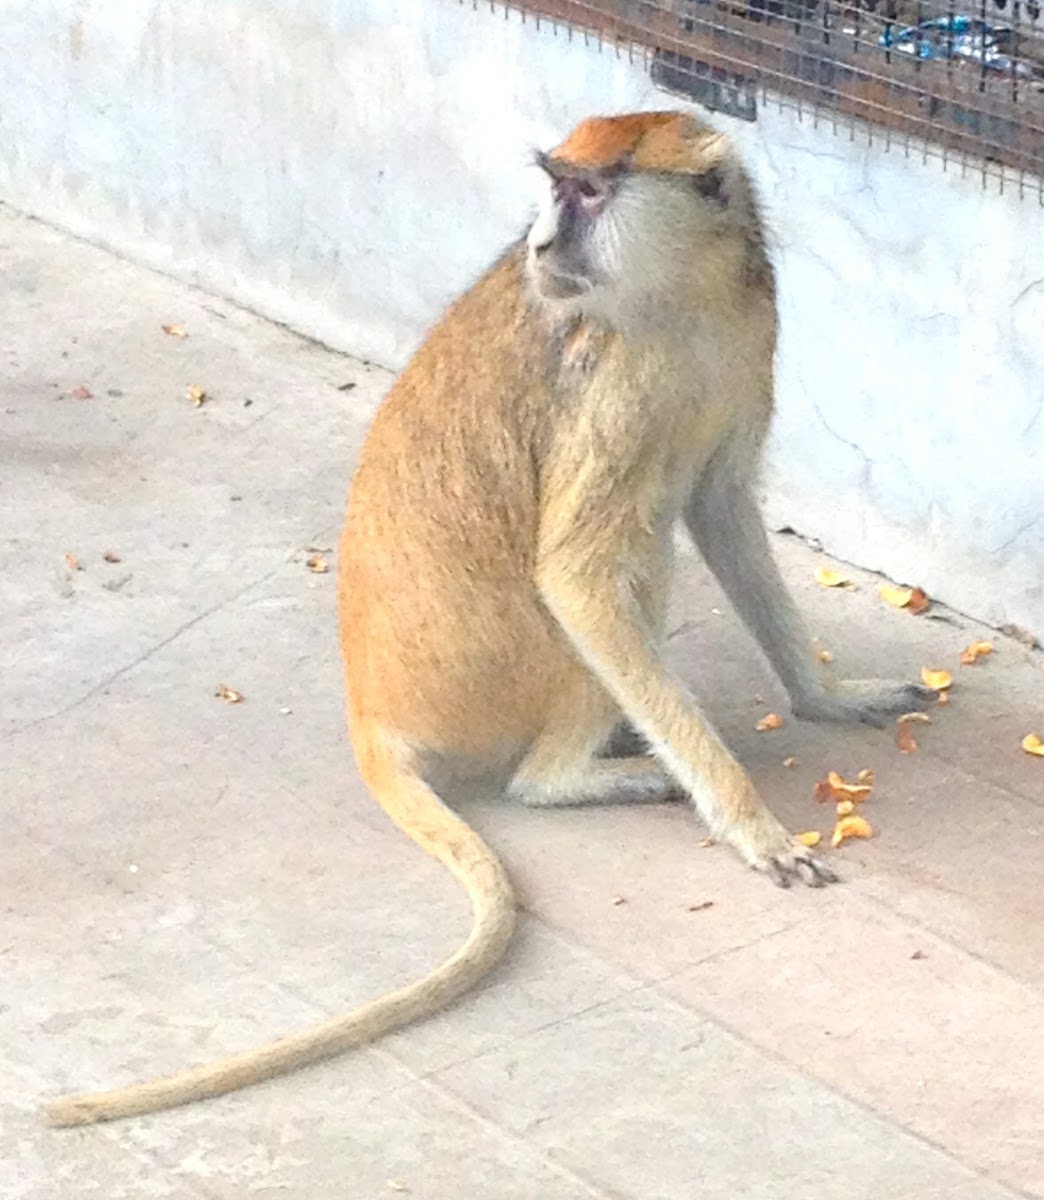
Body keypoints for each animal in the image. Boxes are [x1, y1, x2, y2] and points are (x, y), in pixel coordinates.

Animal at [43, 110, 934, 1128]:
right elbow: (577, 575)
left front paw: (831, 696)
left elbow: (720, 505)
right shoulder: (614, 380)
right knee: (626, 576)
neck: (683, 293)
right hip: (496, 670)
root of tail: (372, 708)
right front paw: (751, 825)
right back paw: (569, 778)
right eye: (558, 187)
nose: (541, 244)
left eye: (585, 194)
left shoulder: (748, 333)